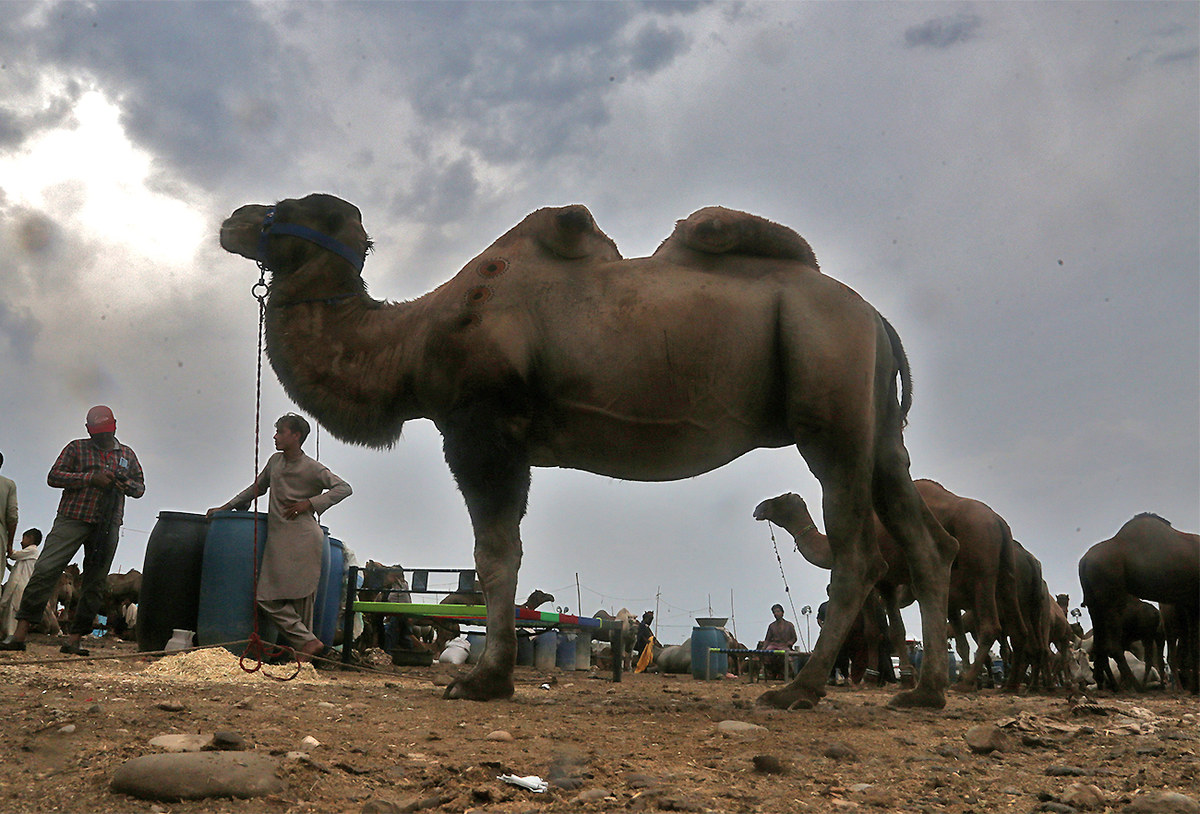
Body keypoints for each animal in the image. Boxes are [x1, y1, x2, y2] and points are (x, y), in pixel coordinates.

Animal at [220, 193, 960, 709]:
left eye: (293, 209)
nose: (233, 220)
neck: (414, 340)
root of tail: (876, 319)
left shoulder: (481, 428)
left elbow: (495, 556)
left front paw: (485, 681)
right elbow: (502, 555)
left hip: (830, 407)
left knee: (861, 552)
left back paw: (798, 691)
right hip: (879, 430)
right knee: (926, 543)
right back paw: (922, 693)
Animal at [754, 479, 1021, 691]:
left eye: (779, 500)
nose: (759, 508)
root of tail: (998, 522)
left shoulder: (875, 581)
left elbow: (874, 631)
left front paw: (871, 677)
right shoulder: (890, 582)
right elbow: (896, 630)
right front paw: (906, 678)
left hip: (981, 566)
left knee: (990, 627)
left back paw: (966, 683)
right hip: (1005, 575)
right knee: (1015, 628)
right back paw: (1006, 684)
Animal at [1079, 513, 1199, 694]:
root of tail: (1084, 561)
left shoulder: (1189, 603)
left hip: (1095, 604)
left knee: (1101, 642)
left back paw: (1107, 683)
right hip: (1110, 601)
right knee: (1114, 646)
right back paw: (1134, 686)